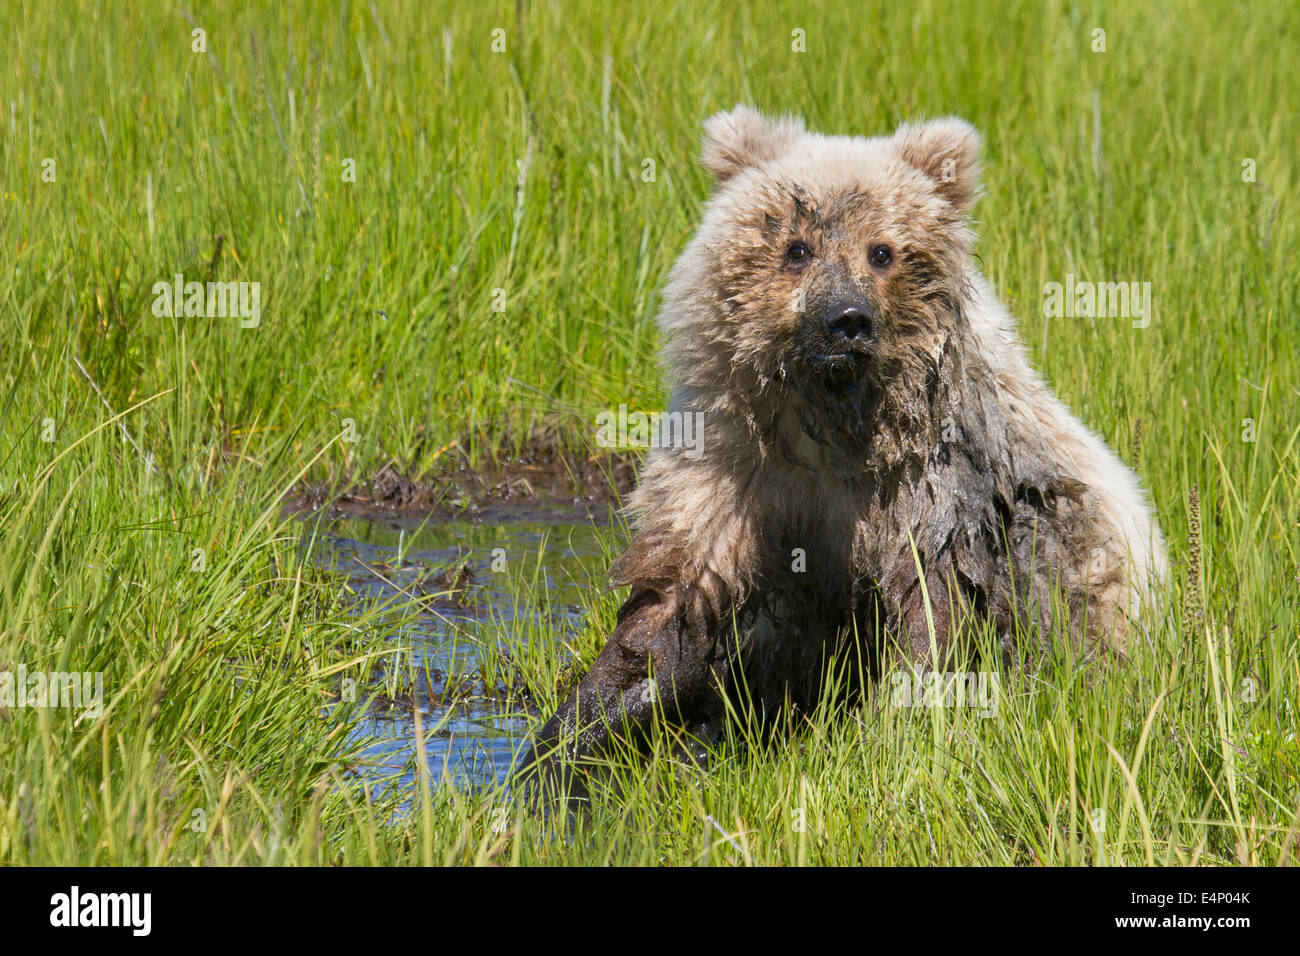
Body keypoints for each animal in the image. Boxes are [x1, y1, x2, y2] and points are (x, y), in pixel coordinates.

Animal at [519, 106, 1167, 786]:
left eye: (882, 251)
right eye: (797, 247)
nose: (848, 319)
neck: (827, 420)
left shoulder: (933, 485)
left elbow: (929, 612)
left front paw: (893, 739)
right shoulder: (733, 470)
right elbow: (674, 606)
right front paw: (572, 736)